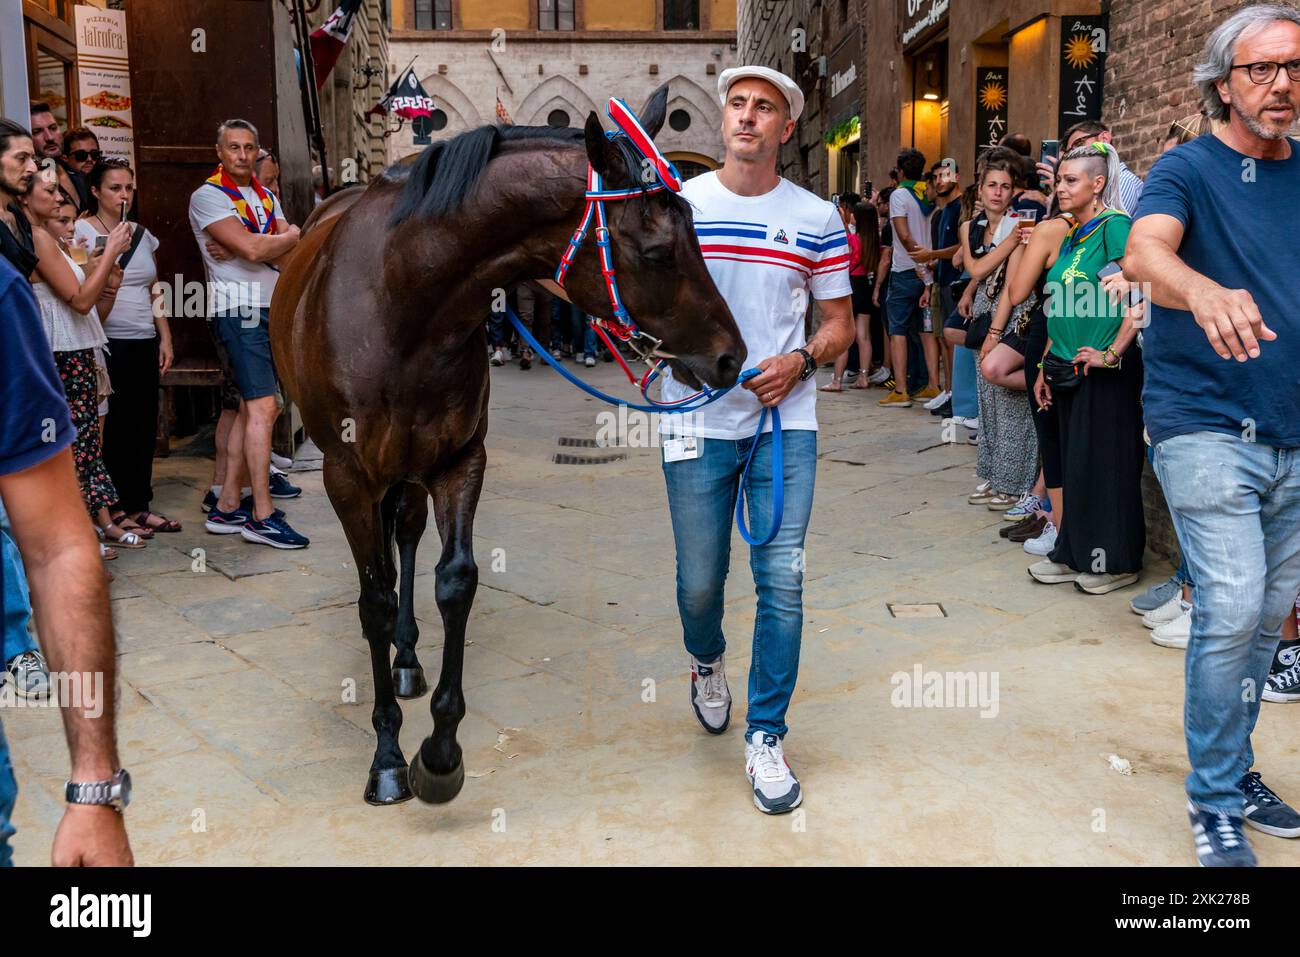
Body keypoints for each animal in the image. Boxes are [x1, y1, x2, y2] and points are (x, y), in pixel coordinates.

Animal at [270, 86, 746, 806]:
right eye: (658, 250)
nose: (731, 357)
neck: (401, 304)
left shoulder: (460, 459)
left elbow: (455, 580)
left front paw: (440, 751)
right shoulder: (345, 474)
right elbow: (373, 600)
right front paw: (388, 755)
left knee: (405, 533)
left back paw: (407, 659)